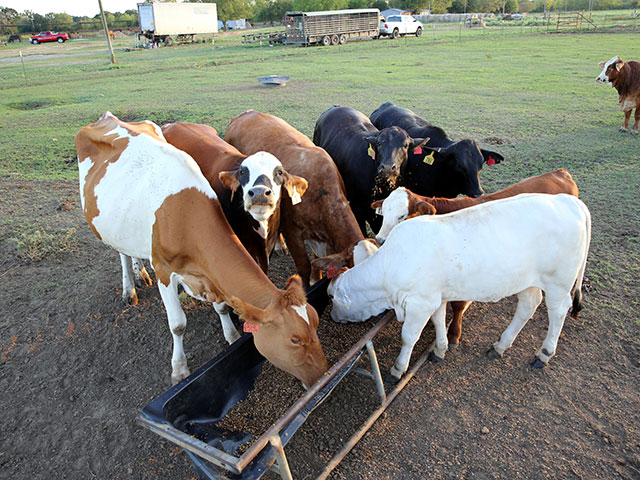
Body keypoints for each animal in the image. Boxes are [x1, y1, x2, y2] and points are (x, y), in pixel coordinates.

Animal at [319, 193, 591, 381]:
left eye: (331, 296)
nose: (332, 316)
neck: (392, 263)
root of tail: (569, 201)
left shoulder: (420, 303)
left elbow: (408, 336)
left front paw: (398, 369)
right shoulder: (436, 297)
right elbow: (439, 321)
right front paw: (440, 349)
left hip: (558, 282)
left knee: (558, 312)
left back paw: (544, 353)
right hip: (528, 281)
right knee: (528, 305)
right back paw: (500, 346)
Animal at [370, 168, 580, 349]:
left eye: (402, 215)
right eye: (383, 213)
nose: (380, 240)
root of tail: (560, 173)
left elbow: (458, 306)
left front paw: (453, 335)